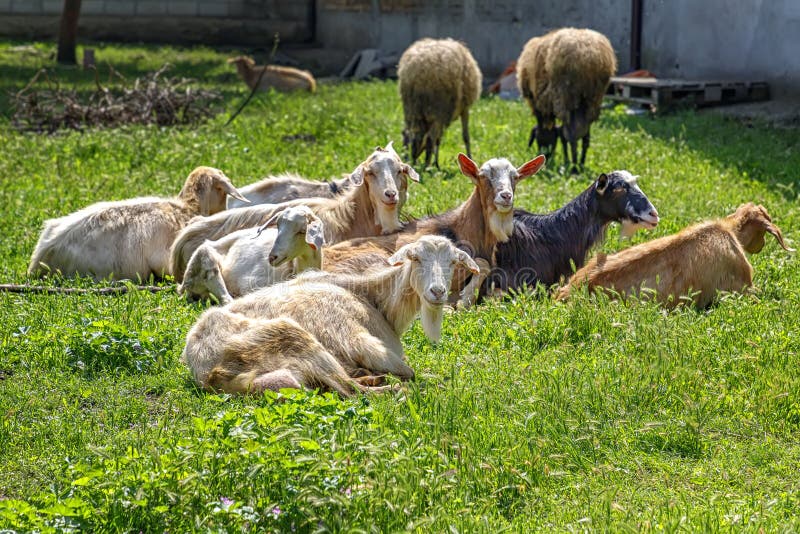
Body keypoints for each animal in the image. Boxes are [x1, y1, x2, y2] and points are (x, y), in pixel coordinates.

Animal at [178, 206, 325, 305]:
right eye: (278, 226)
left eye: (302, 231)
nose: (272, 257)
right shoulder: (251, 284)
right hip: (205, 260)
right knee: (224, 295)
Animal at [181, 235, 480, 396]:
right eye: (415, 258)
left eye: (453, 262)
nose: (437, 291)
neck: (372, 298)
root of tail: (210, 372)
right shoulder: (362, 342)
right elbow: (411, 371)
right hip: (293, 338)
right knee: (352, 391)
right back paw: (393, 388)